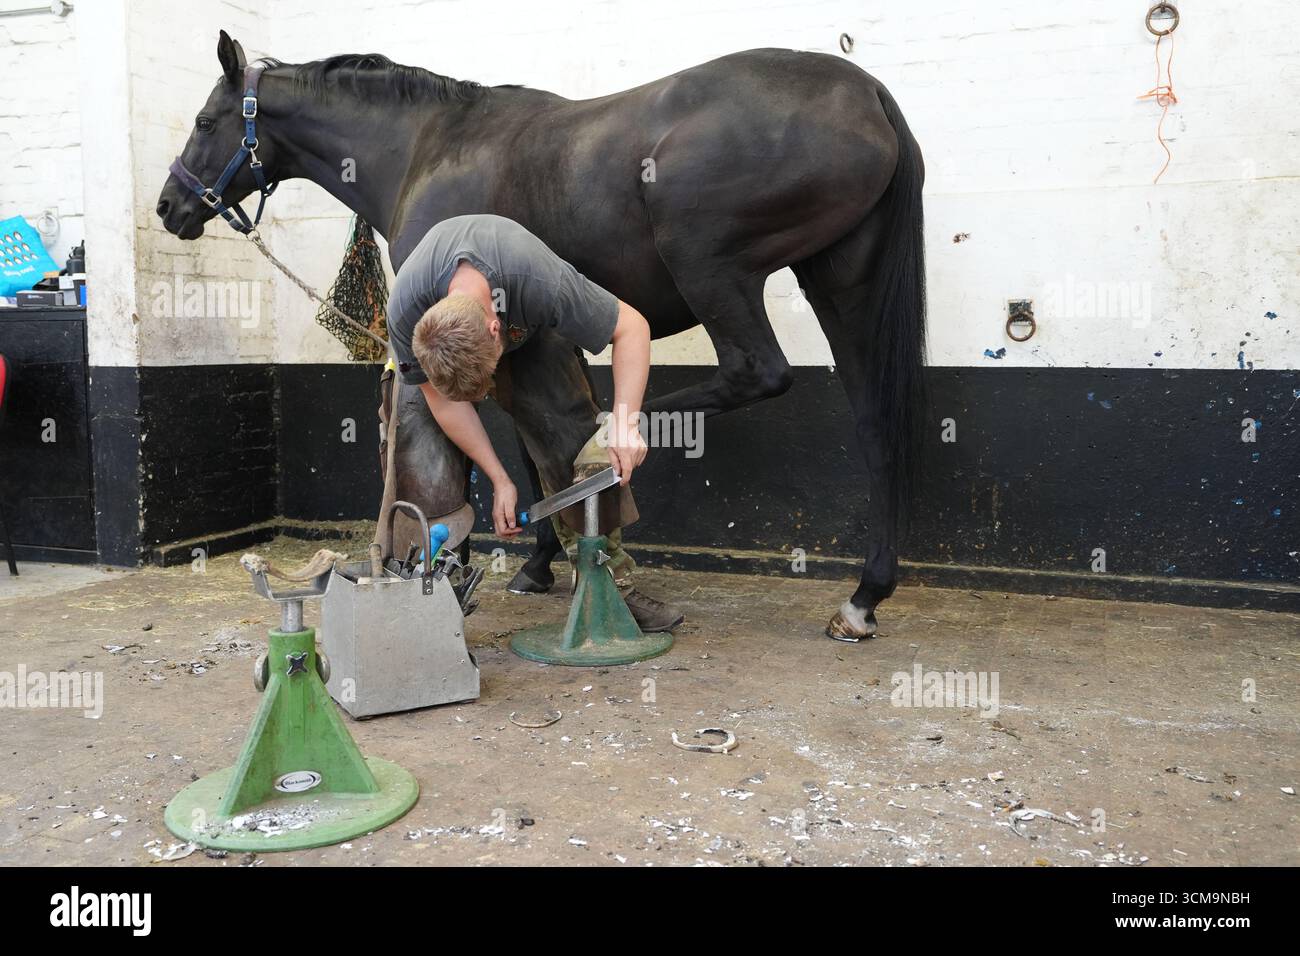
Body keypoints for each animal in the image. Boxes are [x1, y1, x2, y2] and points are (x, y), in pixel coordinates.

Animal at [156, 31, 927, 640]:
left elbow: (517, 448)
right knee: (877, 424)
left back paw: (611, 439)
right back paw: (864, 597)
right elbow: (526, 454)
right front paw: (540, 561)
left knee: (755, 372)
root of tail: (869, 93)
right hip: (840, 284)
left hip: (710, 264)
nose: (169, 206)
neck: (423, 148)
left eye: (204, 119)